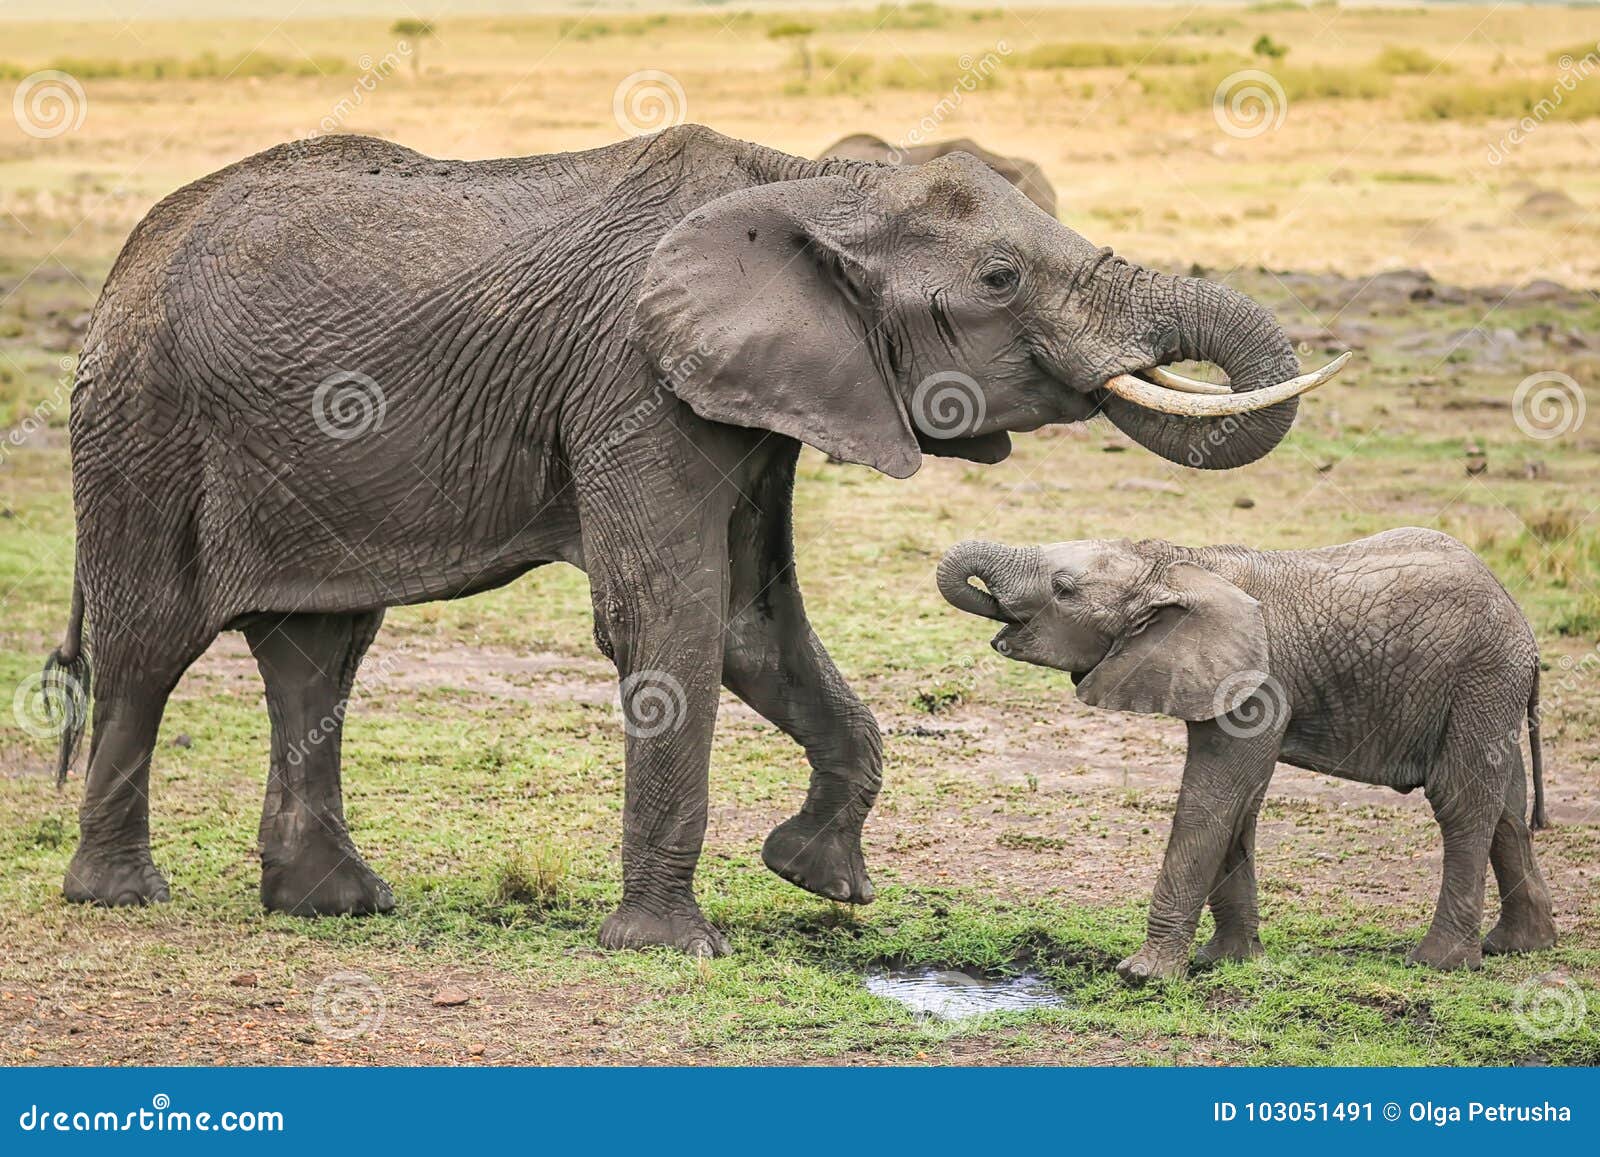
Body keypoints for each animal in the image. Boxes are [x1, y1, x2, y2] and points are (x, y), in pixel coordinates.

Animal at [938, 529, 1556, 981]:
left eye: (1063, 589)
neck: (1176, 561)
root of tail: (1523, 625)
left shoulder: (1260, 683)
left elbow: (1212, 797)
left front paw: (1143, 975)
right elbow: (1241, 803)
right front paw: (1226, 962)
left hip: (1480, 675)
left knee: (1461, 801)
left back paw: (1438, 964)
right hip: (1488, 689)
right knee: (1506, 805)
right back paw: (1519, 947)